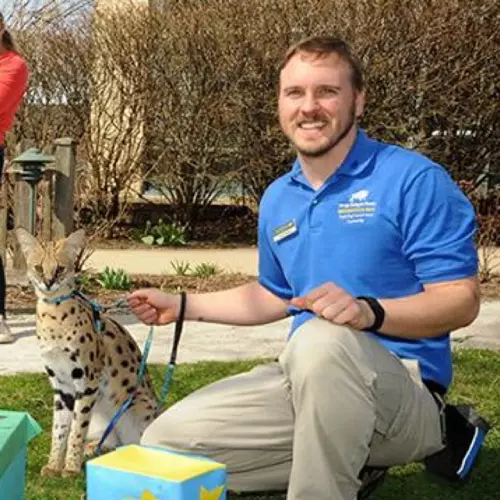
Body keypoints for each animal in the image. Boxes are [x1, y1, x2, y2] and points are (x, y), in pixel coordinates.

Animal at [15, 228, 158, 476]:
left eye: (60, 269)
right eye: (39, 268)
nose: (48, 282)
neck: (53, 312)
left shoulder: (87, 379)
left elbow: (77, 428)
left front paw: (70, 468)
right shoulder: (60, 384)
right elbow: (60, 428)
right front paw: (54, 465)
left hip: (138, 404)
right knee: (112, 441)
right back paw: (94, 449)